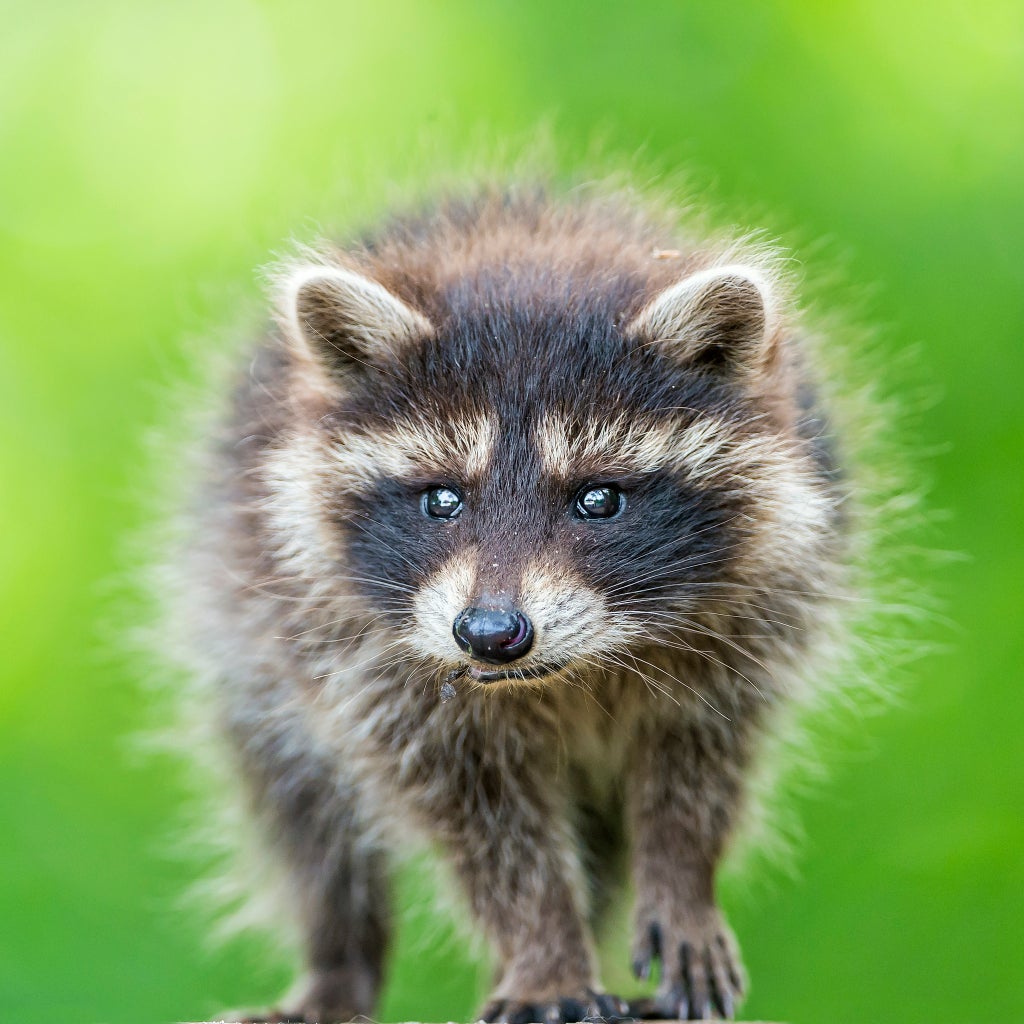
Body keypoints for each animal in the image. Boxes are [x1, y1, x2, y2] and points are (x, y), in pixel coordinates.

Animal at [166, 186, 846, 1023]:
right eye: (442, 499)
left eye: (599, 498)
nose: (490, 633)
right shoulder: (362, 662)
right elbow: (485, 826)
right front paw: (543, 951)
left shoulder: (757, 615)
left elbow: (701, 758)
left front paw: (683, 879)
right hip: (250, 647)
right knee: (305, 822)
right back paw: (339, 962)